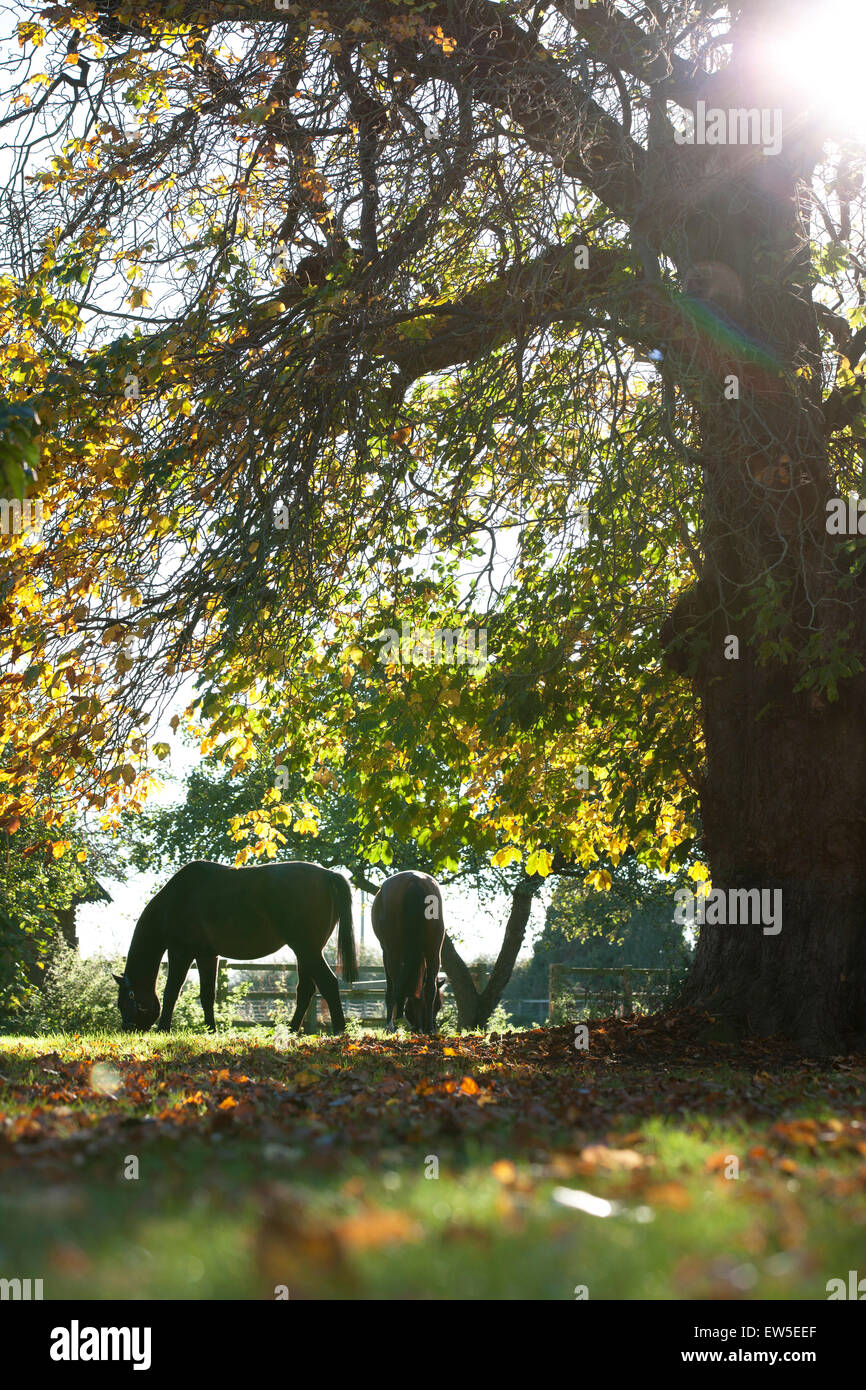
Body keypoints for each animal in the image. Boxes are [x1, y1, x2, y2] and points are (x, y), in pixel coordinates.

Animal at [114, 860, 356, 1034]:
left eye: (124, 1002)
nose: (127, 1028)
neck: (174, 901)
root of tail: (328, 875)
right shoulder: (206, 956)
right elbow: (207, 995)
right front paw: (211, 1030)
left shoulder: (180, 953)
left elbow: (171, 991)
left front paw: (163, 1028)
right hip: (305, 951)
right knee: (305, 989)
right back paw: (291, 1030)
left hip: (307, 949)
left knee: (327, 983)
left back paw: (338, 1029)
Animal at [371, 870, 445, 1034]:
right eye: (438, 1006)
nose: (420, 1027)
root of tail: (415, 879)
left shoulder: (386, 952)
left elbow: (393, 987)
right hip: (434, 949)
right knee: (430, 987)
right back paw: (428, 1028)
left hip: (393, 951)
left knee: (395, 984)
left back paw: (392, 1024)